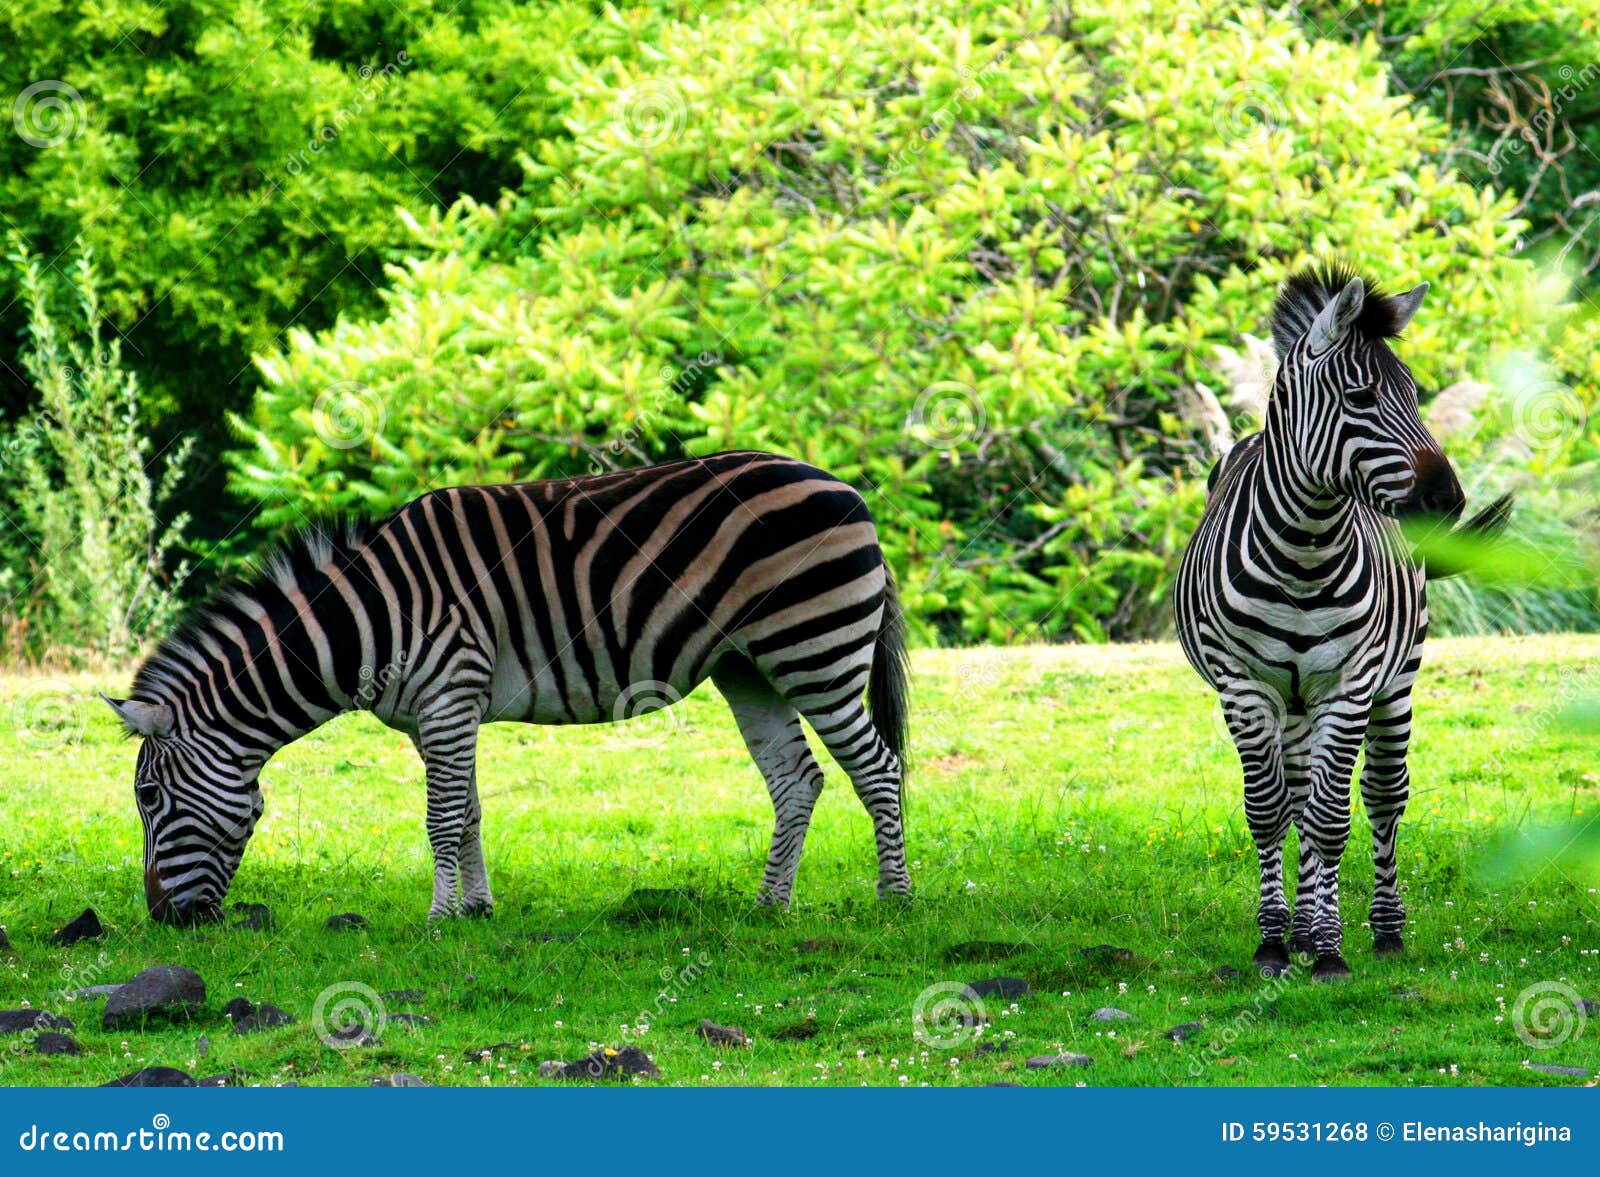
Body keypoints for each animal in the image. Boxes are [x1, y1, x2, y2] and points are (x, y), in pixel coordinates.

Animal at [101, 451, 911, 924]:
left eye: (148, 797)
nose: (163, 920)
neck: (369, 620)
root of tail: (848, 488)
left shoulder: (449, 692)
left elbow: (438, 818)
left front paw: (437, 918)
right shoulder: (437, 712)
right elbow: (468, 812)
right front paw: (478, 908)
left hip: (815, 644)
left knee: (879, 769)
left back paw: (894, 900)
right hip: (751, 665)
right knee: (799, 779)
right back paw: (770, 907)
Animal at [1173, 263, 1505, 980]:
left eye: (1416, 394)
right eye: (1361, 395)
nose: (1449, 501)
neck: (1304, 550)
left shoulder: (1350, 685)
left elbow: (1331, 817)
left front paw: (1329, 950)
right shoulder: (1245, 687)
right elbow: (1269, 809)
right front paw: (1275, 942)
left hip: (1395, 682)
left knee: (1381, 794)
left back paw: (1381, 929)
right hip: (1292, 701)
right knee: (1297, 792)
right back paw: (1300, 926)